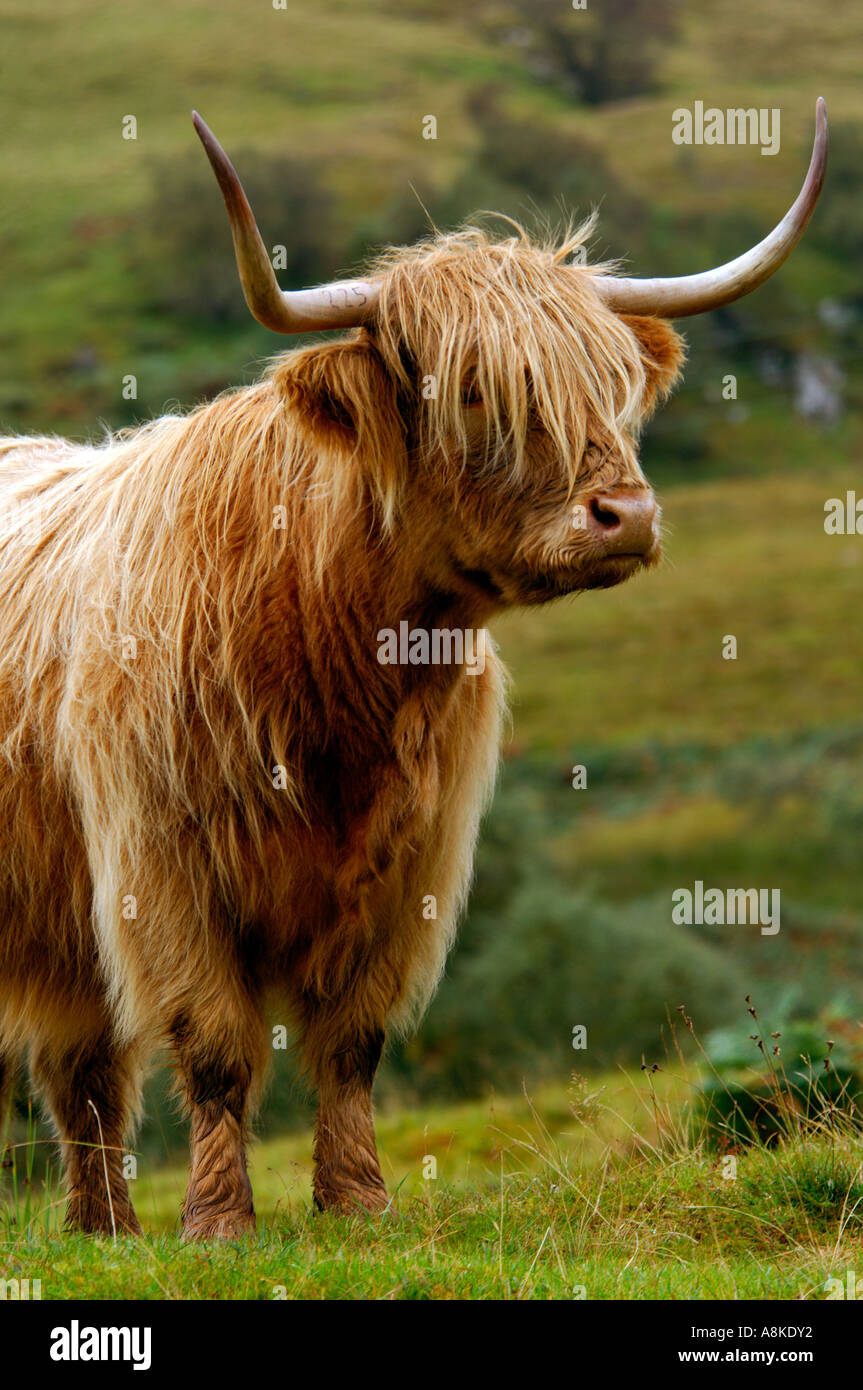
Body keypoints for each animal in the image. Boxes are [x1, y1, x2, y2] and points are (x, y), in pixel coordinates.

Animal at [0, 100, 826, 1238]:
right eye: (474, 391)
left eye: (606, 382)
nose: (625, 515)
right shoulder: (163, 865)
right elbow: (213, 1046)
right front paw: (218, 1223)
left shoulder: (408, 873)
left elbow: (352, 1044)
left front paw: (357, 1203)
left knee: (77, 1064)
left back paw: (104, 1228)